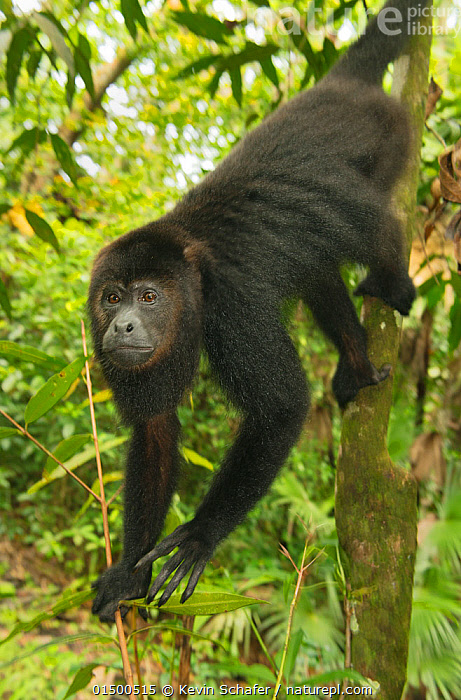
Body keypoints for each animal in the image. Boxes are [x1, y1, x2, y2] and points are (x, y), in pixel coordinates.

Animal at [89, 0, 429, 622]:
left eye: (148, 297)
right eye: (111, 297)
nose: (122, 325)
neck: (191, 286)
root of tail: (337, 85)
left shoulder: (232, 310)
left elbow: (282, 405)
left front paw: (199, 535)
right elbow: (155, 429)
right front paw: (127, 571)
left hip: (390, 136)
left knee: (373, 222)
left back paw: (392, 282)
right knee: (321, 269)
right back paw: (359, 363)